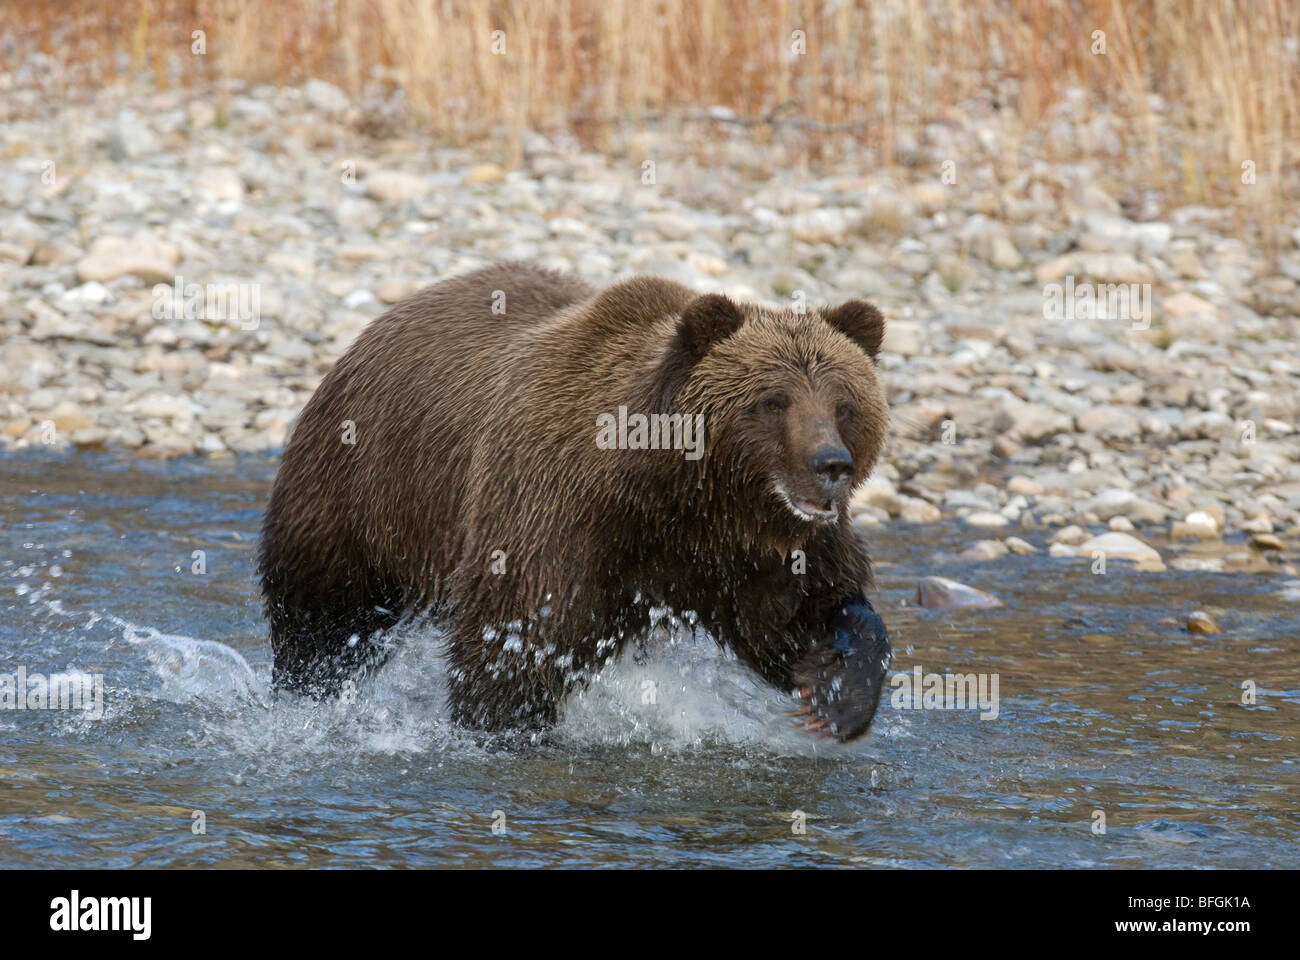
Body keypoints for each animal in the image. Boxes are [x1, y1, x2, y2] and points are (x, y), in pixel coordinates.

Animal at [258, 262, 892, 741]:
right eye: (773, 401)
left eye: (843, 403)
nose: (832, 465)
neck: (680, 492)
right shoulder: (557, 510)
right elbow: (517, 642)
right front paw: (503, 726)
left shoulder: (748, 550)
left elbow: (800, 613)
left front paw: (835, 691)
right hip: (361, 489)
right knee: (324, 615)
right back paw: (308, 690)